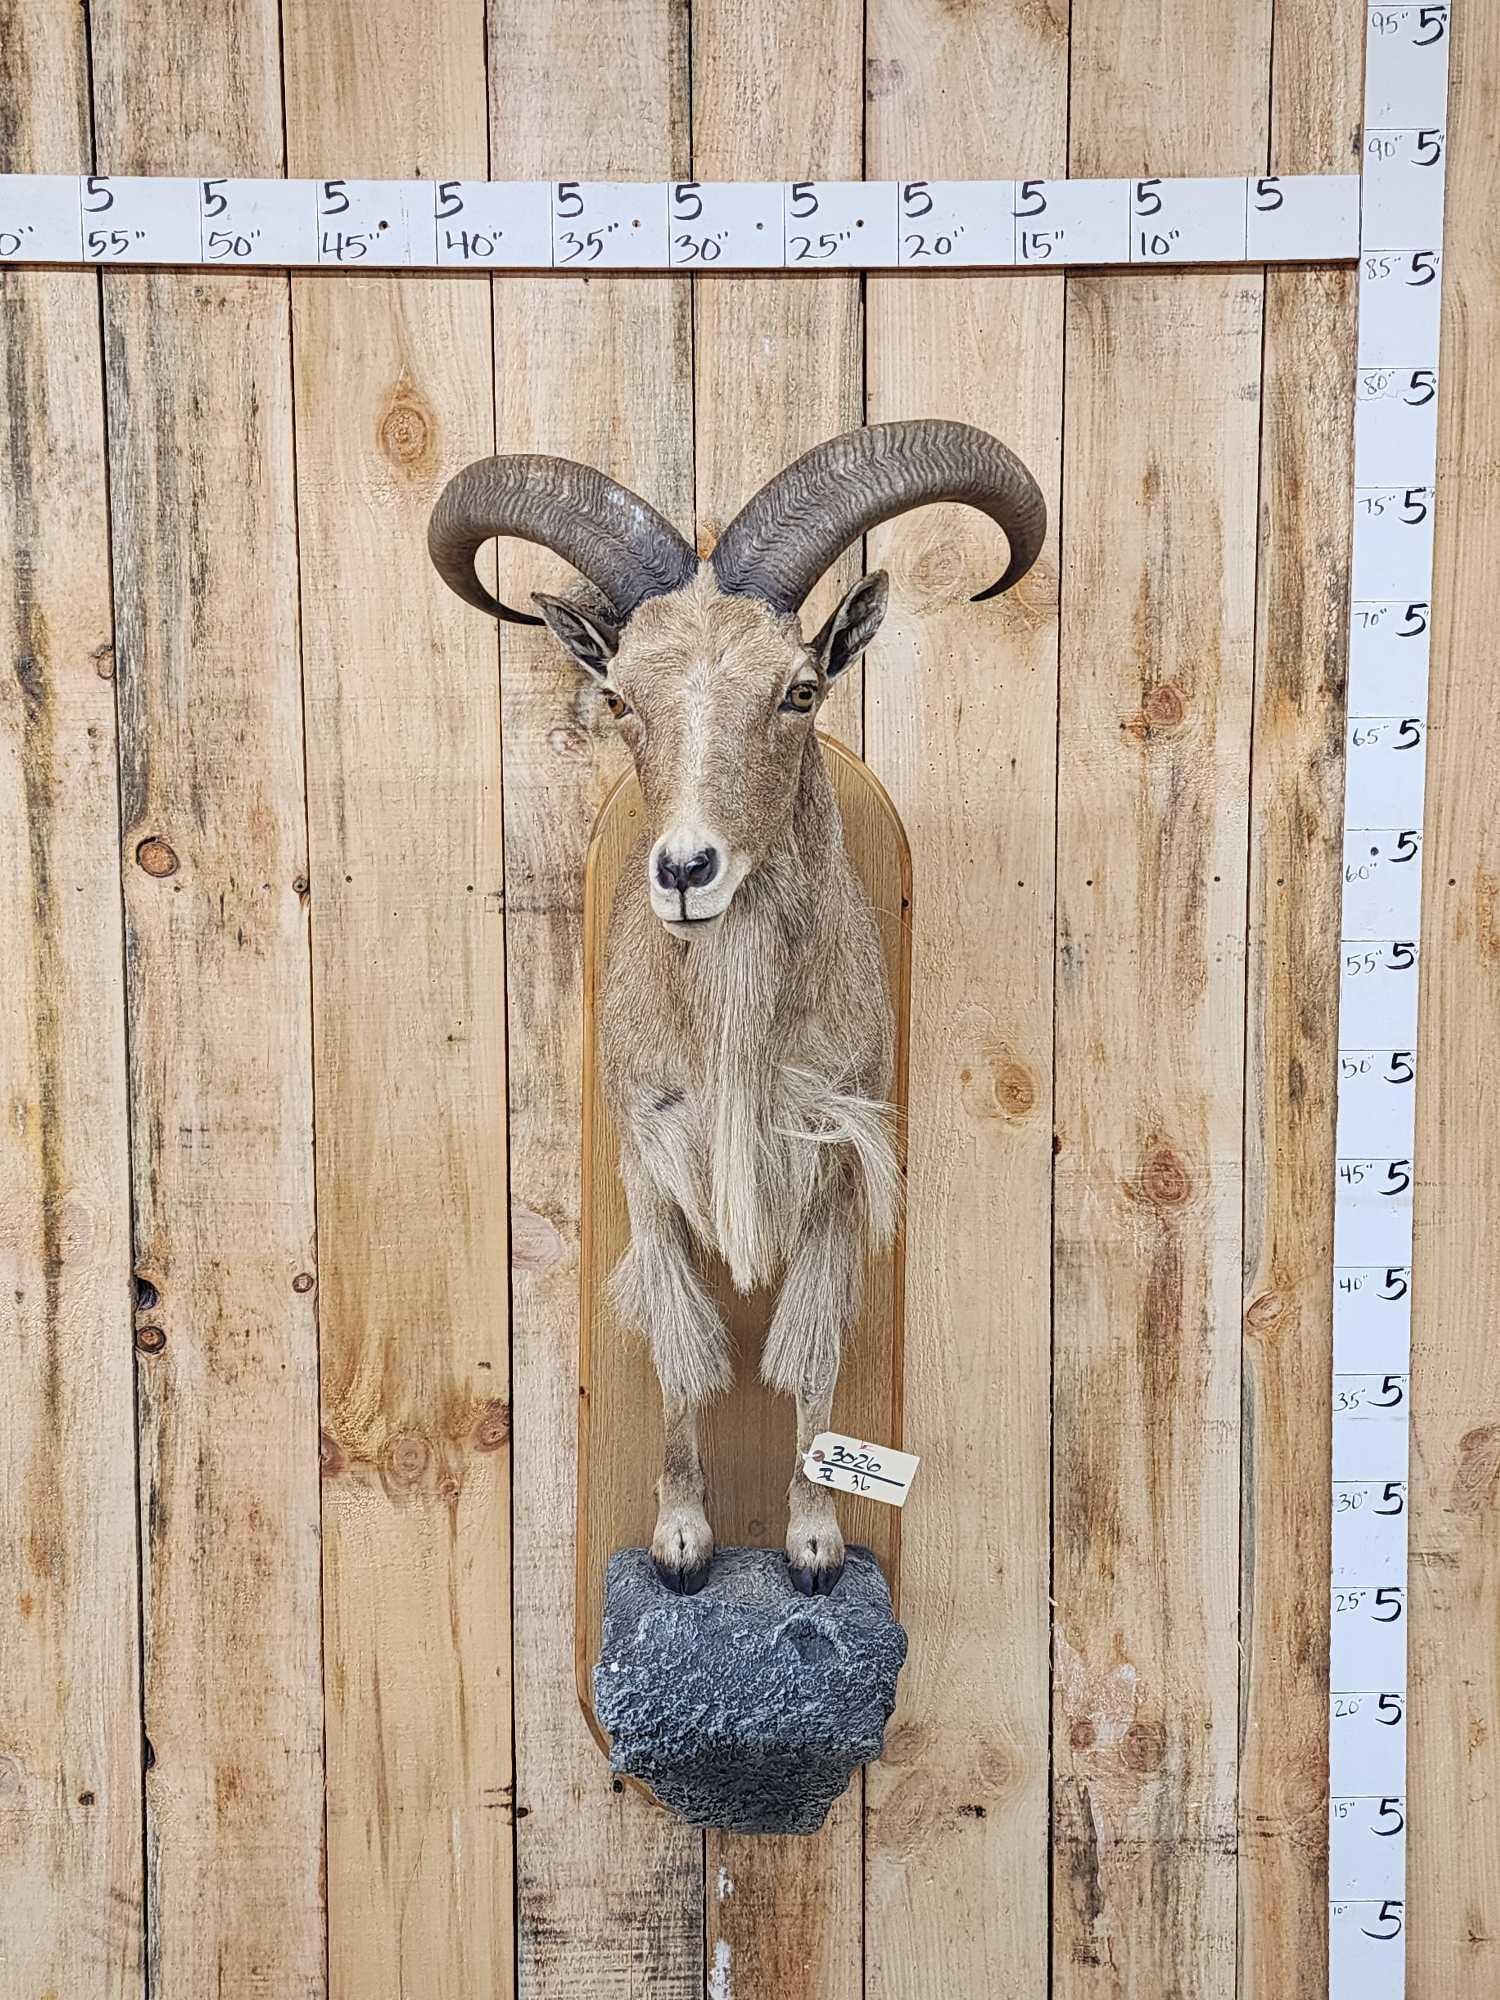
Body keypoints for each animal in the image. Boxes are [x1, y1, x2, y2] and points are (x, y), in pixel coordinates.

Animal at [430, 420, 1045, 1594]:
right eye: (621, 696)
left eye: (800, 688)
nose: (685, 870)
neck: (733, 1025)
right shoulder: (649, 1161)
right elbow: (683, 1352)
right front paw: (680, 1542)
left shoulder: (839, 1160)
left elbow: (810, 1350)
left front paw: (813, 1544)